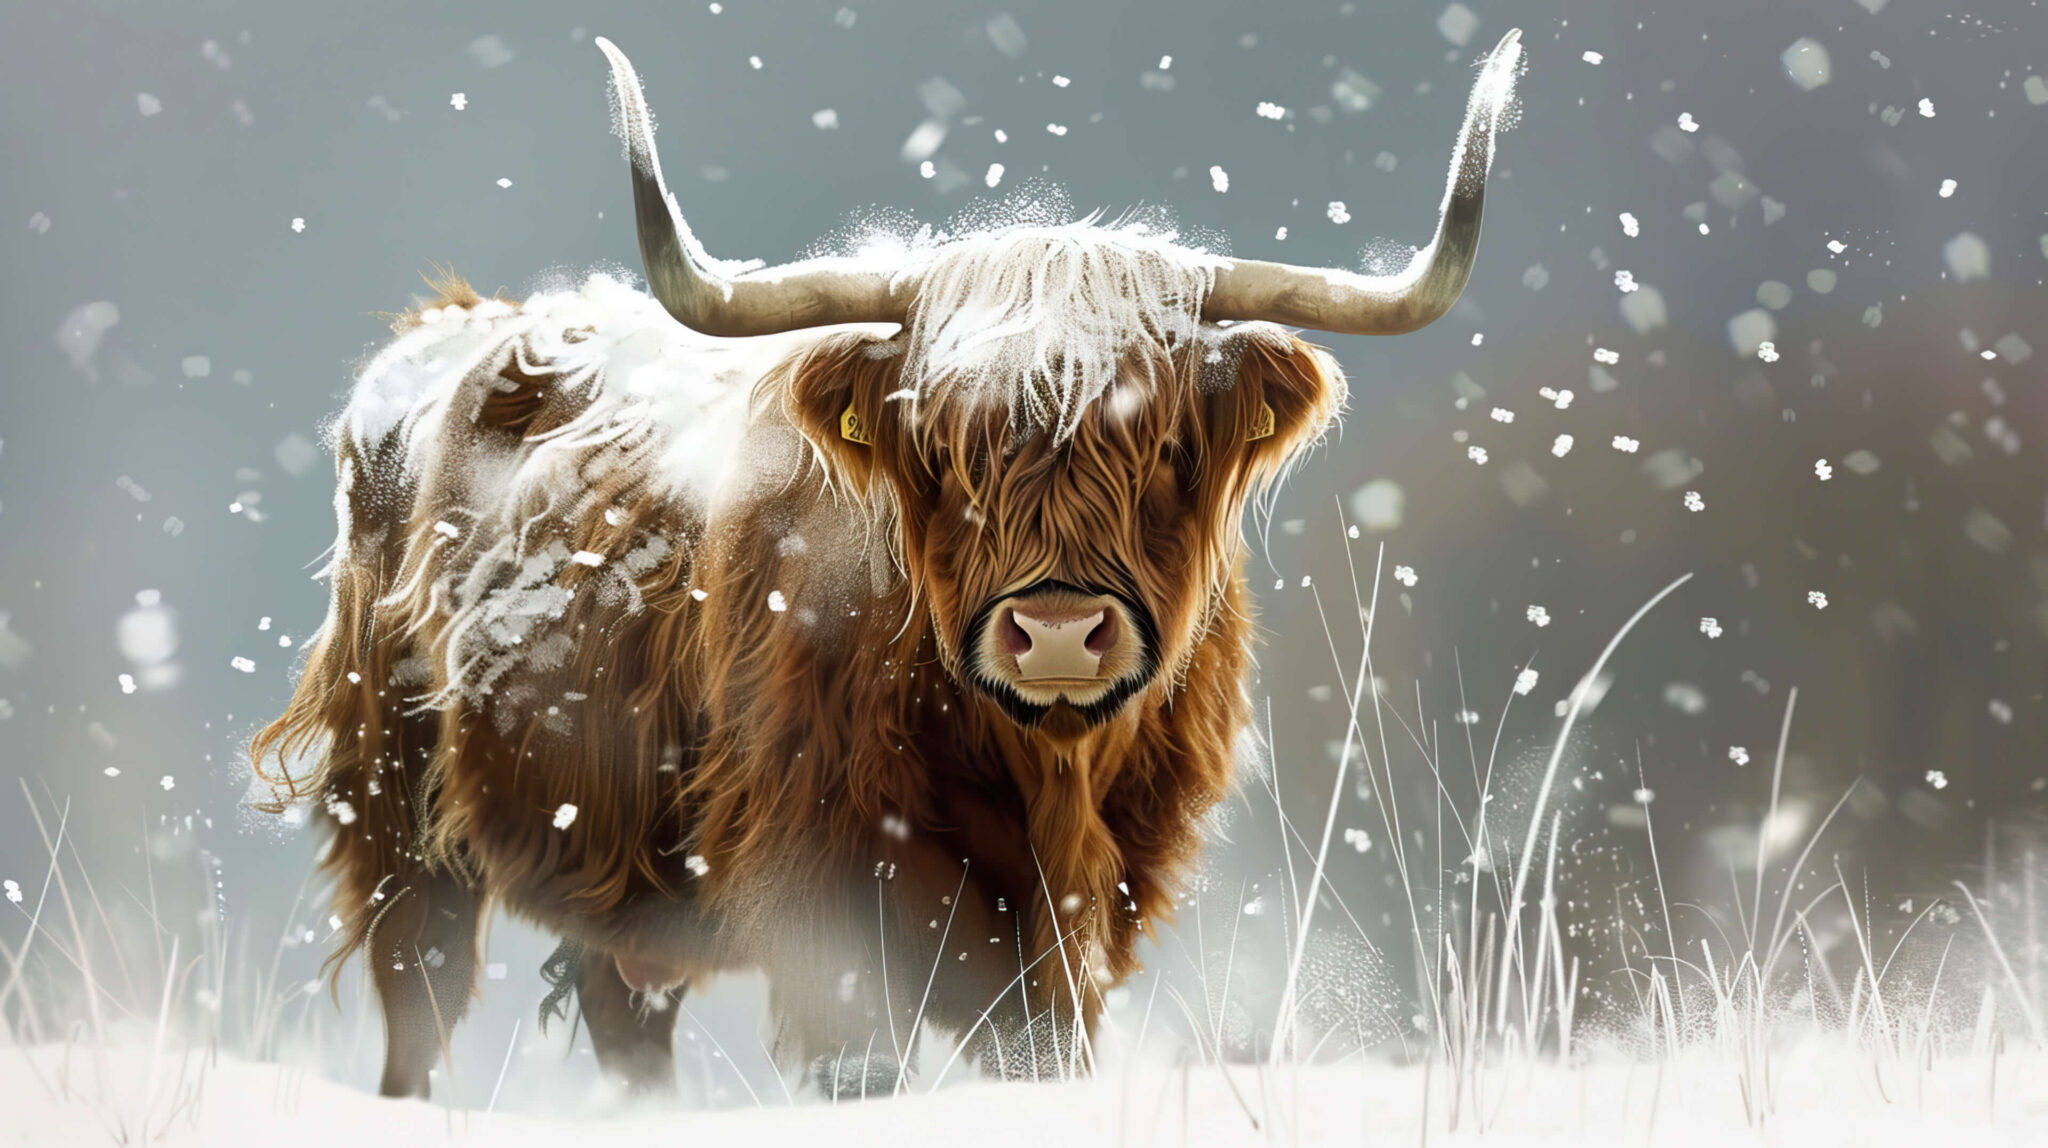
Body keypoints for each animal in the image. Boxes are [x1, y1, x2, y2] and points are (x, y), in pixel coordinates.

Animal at [248, 32, 1523, 1099]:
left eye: (1163, 443)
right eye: (942, 446)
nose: (1056, 632)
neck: (1043, 766)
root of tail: (451, 328)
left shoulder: (1092, 914)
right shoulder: (828, 891)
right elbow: (859, 1065)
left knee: (621, 1010)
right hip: (393, 798)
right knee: (418, 998)